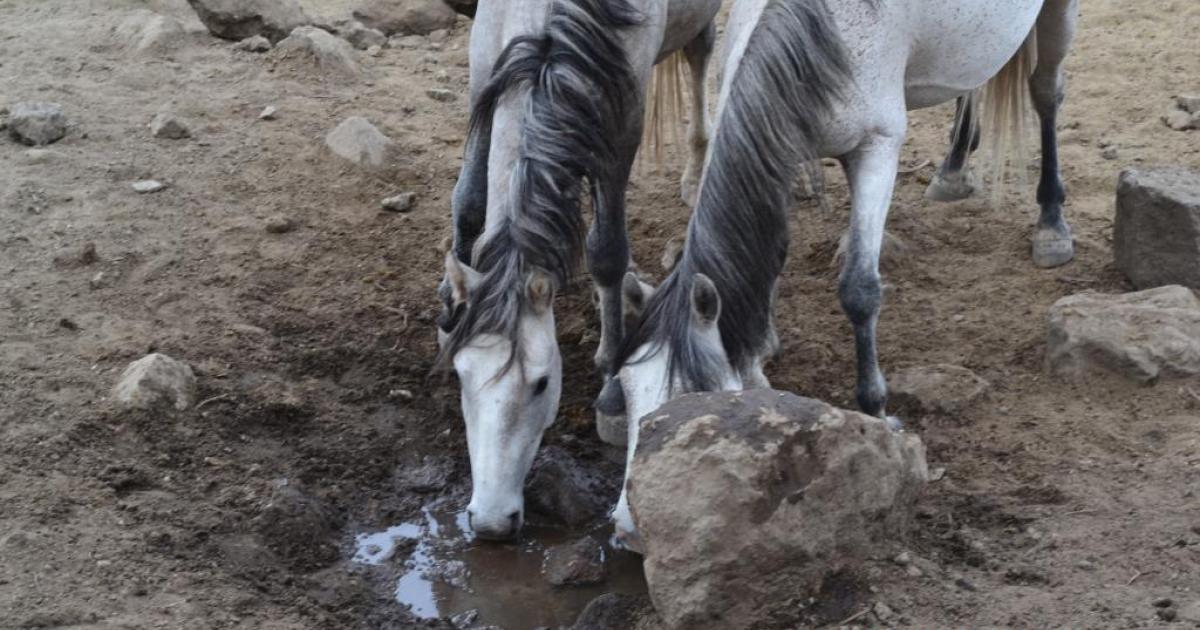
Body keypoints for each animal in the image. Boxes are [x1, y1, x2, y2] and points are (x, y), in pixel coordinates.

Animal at [437, 0, 721, 540]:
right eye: (461, 378)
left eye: (543, 383)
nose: (490, 522)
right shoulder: (485, 72)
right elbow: (468, 204)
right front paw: (449, 309)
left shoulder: (621, 124)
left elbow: (606, 252)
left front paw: (611, 390)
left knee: (700, 55)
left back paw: (697, 174)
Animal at [598, 0, 1079, 549]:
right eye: (626, 390)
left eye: (694, 403)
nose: (630, 531)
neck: (827, 32)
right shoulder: (781, 147)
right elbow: (774, 253)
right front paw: (765, 353)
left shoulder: (878, 149)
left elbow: (860, 290)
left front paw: (875, 408)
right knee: (973, 86)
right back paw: (953, 169)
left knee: (1046, 91)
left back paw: (1051, 222)